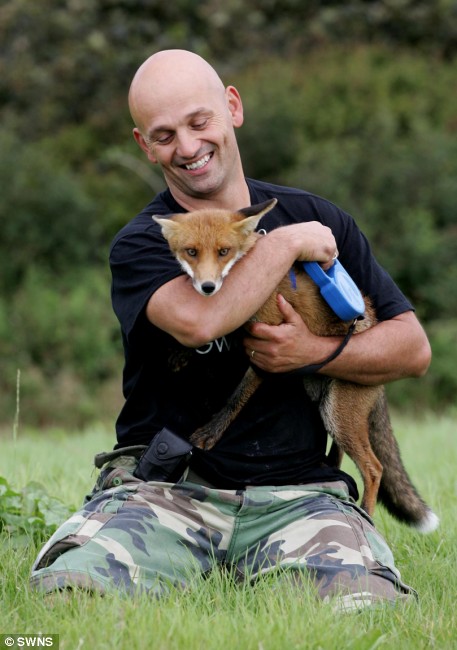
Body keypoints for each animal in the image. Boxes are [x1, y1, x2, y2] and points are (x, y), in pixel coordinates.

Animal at [153, 198, 439, 533]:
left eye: (224, 251)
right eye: (191, 252)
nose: (207, 287)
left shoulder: (267, 343)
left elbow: (236, 398)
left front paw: (210, 433)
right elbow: (216, 328)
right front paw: (181, 351)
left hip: (337, 414)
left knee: (374, 467)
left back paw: (366, 515)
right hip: (328, 408)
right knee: (341, 457)